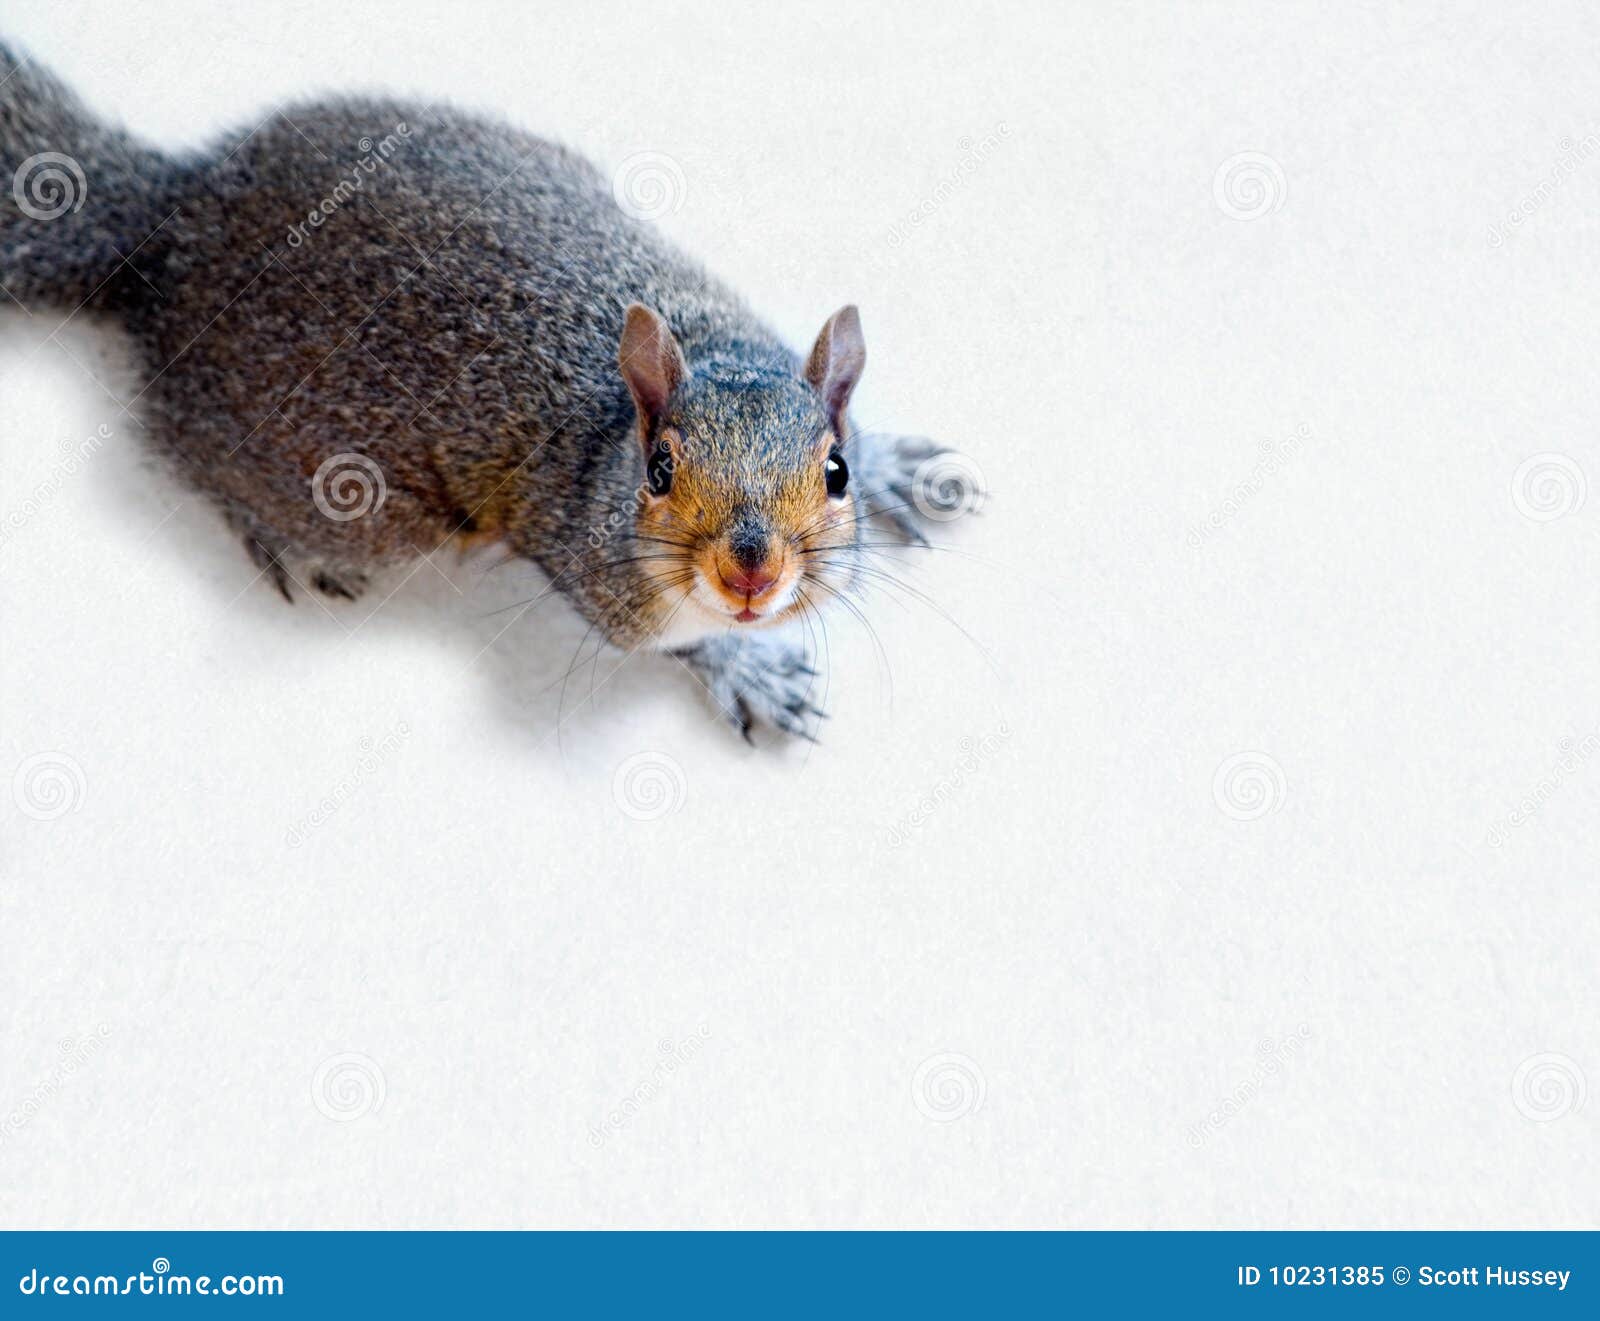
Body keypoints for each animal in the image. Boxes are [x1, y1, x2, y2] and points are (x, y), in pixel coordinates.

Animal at [0, 42, 965, 739]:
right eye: (659, 471)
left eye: (834, 472)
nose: (750, 574)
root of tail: (170, 220)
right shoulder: (600, 580)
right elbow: (679, 641)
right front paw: (745, 668)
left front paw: (896, 466)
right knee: (195, 466)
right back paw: (289, 546)